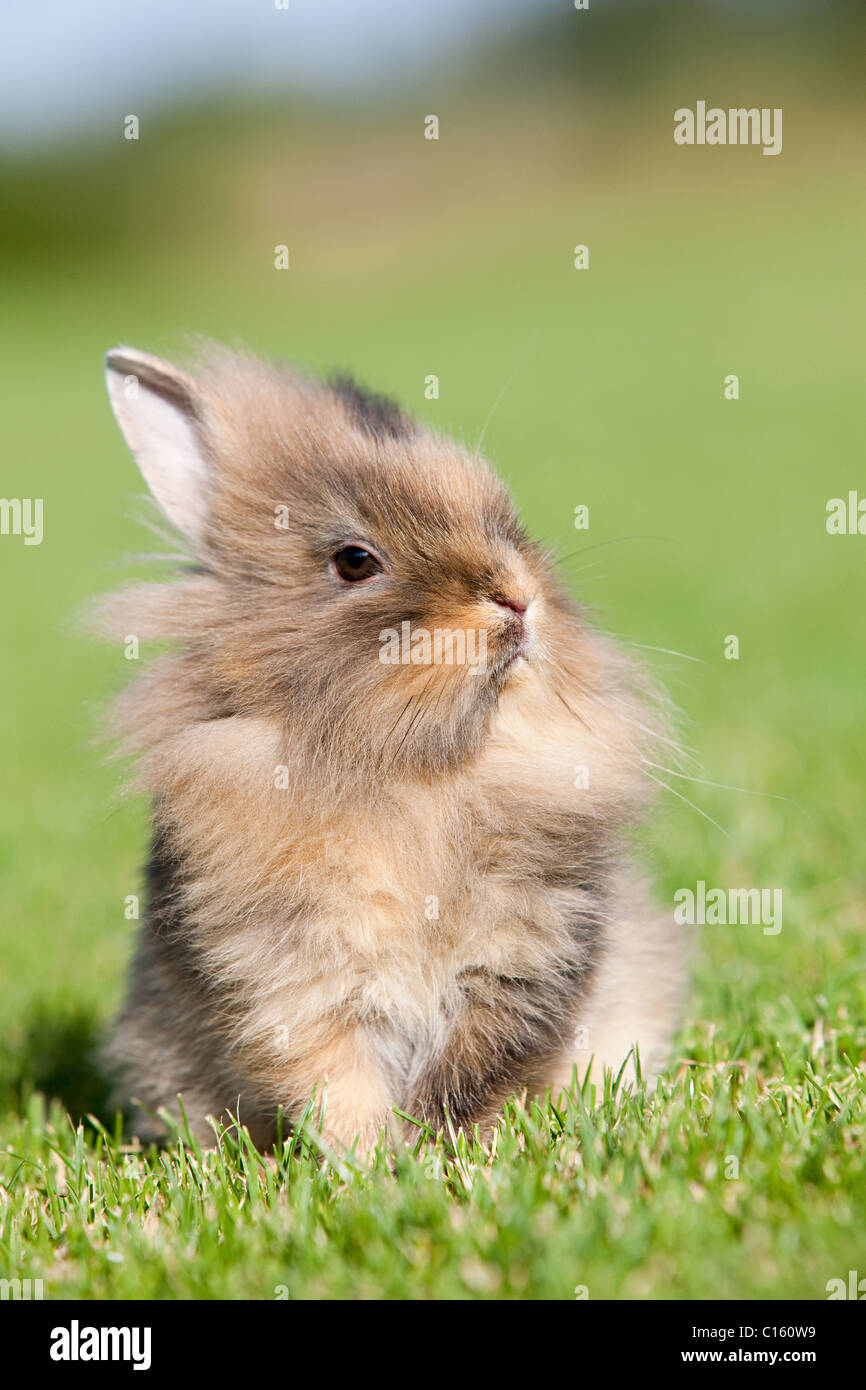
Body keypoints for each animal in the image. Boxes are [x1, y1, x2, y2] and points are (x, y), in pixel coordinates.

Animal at [95, 342, 684, 1153]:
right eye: (354, 561)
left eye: (504, 518)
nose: (517, 598)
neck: (417, 771)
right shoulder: (296, 980)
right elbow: (337, 1080)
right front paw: (371, 1161)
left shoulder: (522, 961)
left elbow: (475, 1074)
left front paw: (449, 1154)